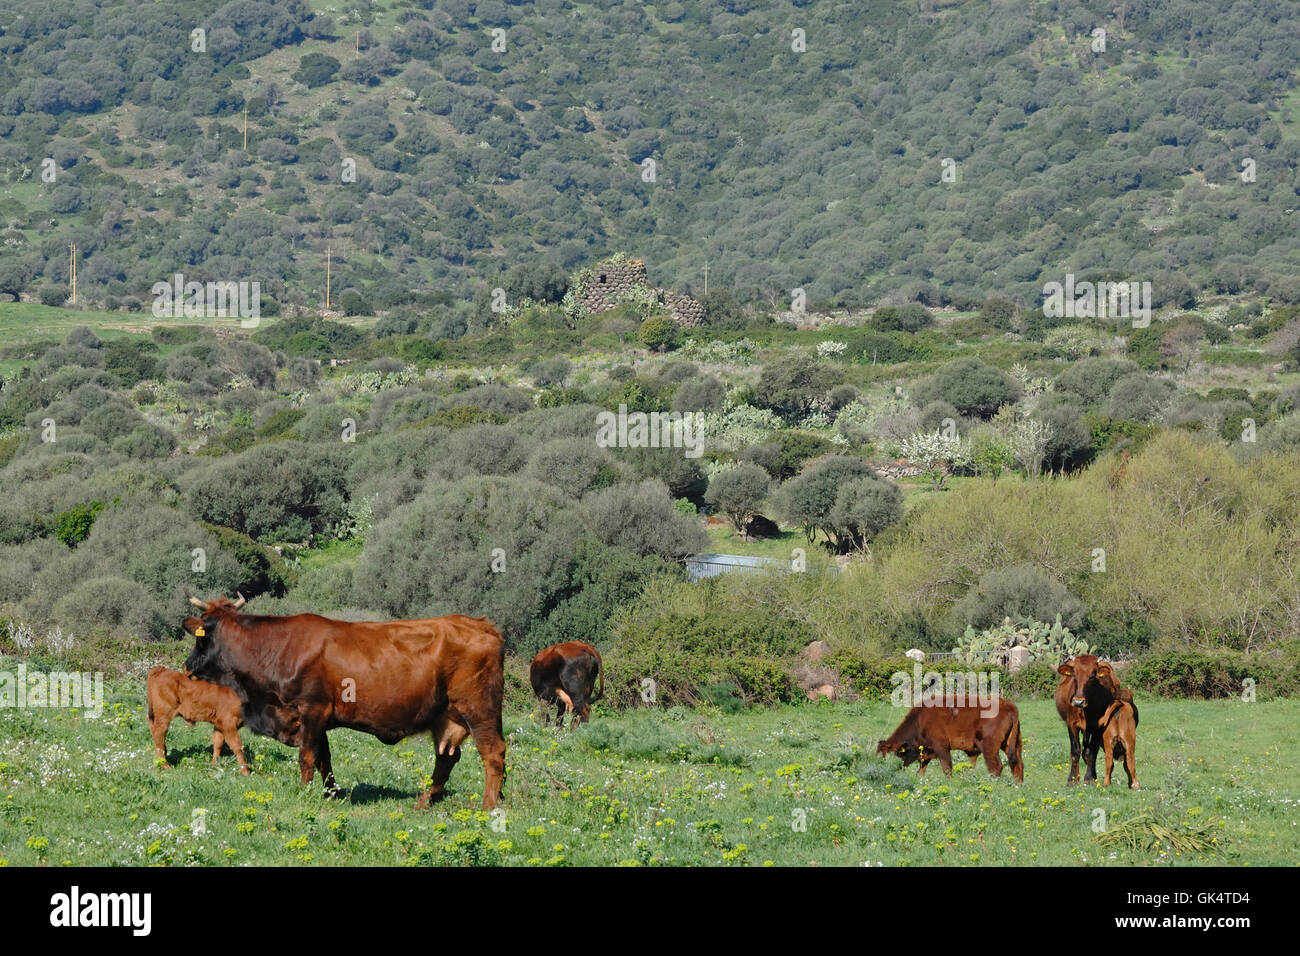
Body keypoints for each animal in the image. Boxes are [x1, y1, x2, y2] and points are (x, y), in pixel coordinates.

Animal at [182, 594, 507, 810]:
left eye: (202, 637)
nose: (186, 666)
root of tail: (482, 625)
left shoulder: (312, 708)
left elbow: (307, 756)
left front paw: (305, 792)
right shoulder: (319, 719)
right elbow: (324, 757)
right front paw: (331, 793)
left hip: (480, 710)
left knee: (493, 753)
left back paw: (488, 806)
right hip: (447, 717)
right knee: (447, 757)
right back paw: (425, 801)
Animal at [876, 700, 1023, 782]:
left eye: (901, 753)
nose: (903, 765)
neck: (919, 720)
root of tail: (1010, 706)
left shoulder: (941, 748)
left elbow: (946, 768)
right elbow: (922, 768)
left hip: (989, 748)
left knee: (996, 767)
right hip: (1011, 745)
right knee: (1017, 765)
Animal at [1055, 655, 1137, 785]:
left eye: (1092, 676)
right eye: (1074, 675)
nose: (1078, 701)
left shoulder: (1098, 726)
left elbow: (1092, 752)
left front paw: (1089, 777)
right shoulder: (1071, 724)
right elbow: (1075, 751)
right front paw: (1072, 779)